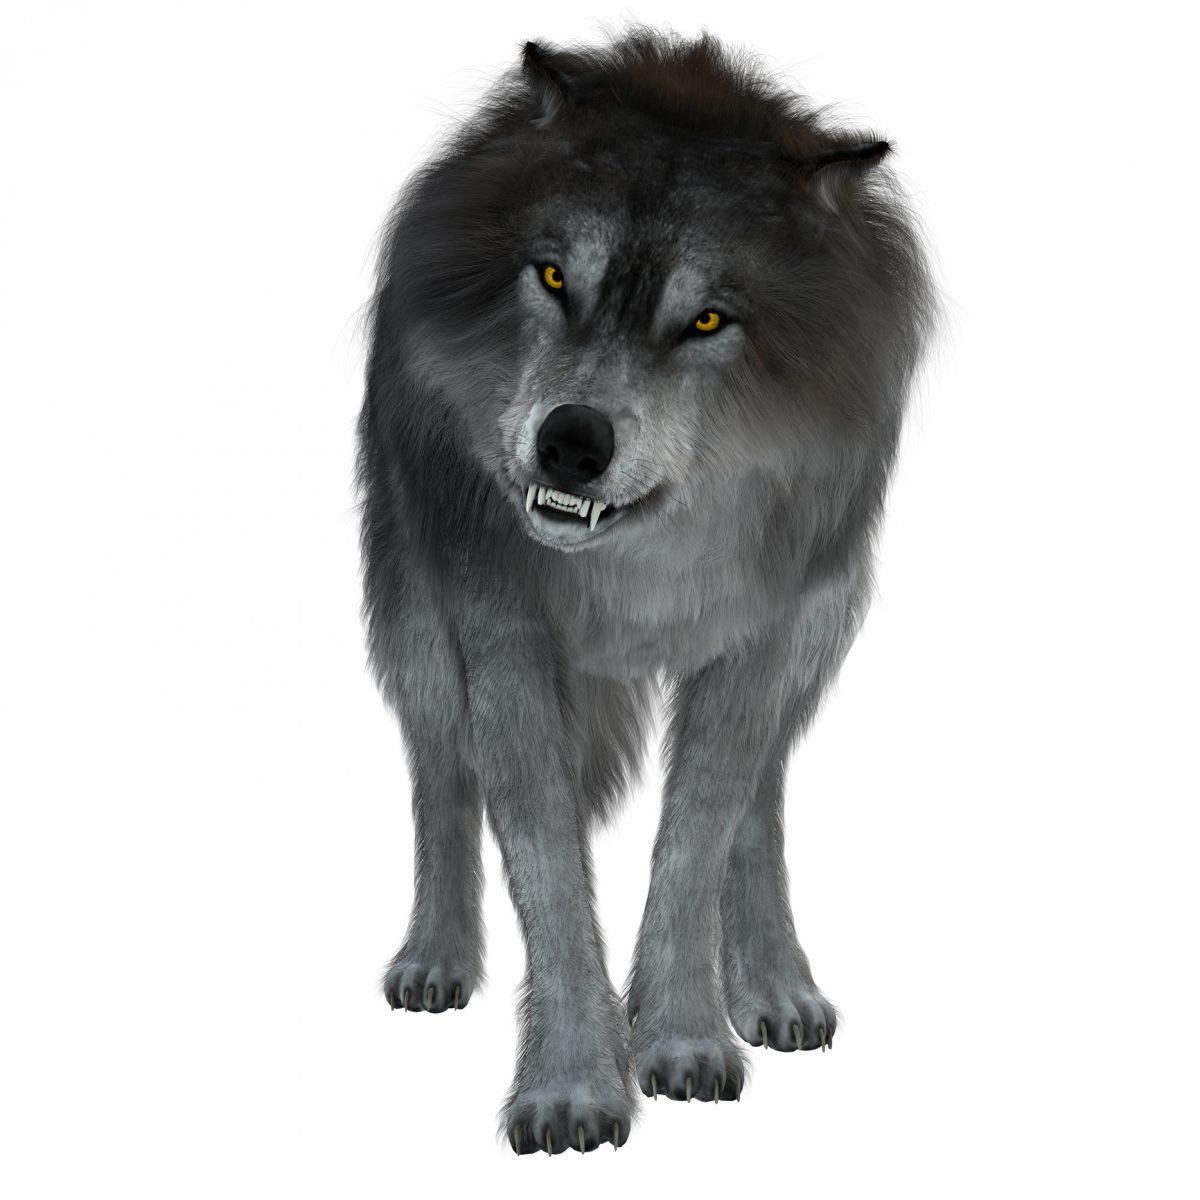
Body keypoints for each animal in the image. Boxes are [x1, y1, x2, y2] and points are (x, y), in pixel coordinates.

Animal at [356, 26, 936, 1155]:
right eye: (552, 276)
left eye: (706, 319)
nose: (572, 444)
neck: (638, 564)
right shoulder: (503, 636)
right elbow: (544, 866)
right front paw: (574, 1086)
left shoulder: (757, 640)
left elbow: (698, 840)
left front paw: (684, 1038)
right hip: (416, 622)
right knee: (439, 777)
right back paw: (436, 959)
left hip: (818, 631)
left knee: (762, 799)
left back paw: (776, 986)